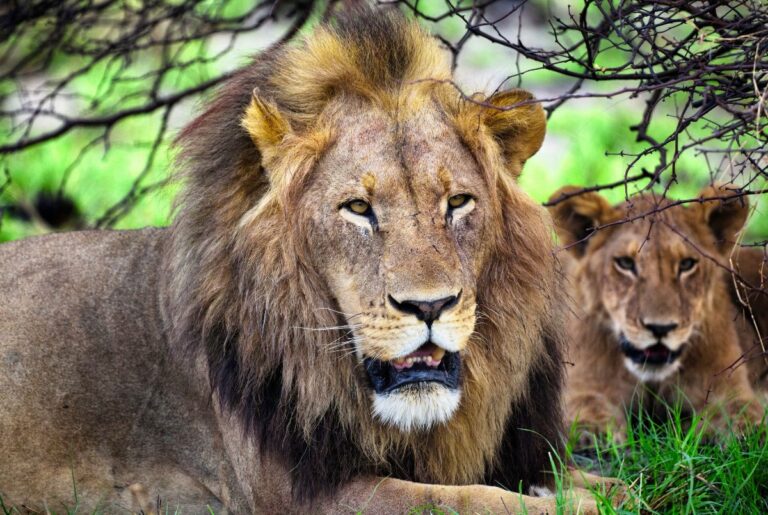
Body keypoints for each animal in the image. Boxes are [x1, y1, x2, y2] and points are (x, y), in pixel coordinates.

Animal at [549, 185, 764, 442]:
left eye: (686, 264)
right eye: (625, 263)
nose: (660, 328)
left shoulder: (730, 388)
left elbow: (742, 417)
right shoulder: (583, 384)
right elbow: (586, 410)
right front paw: (593, 435)